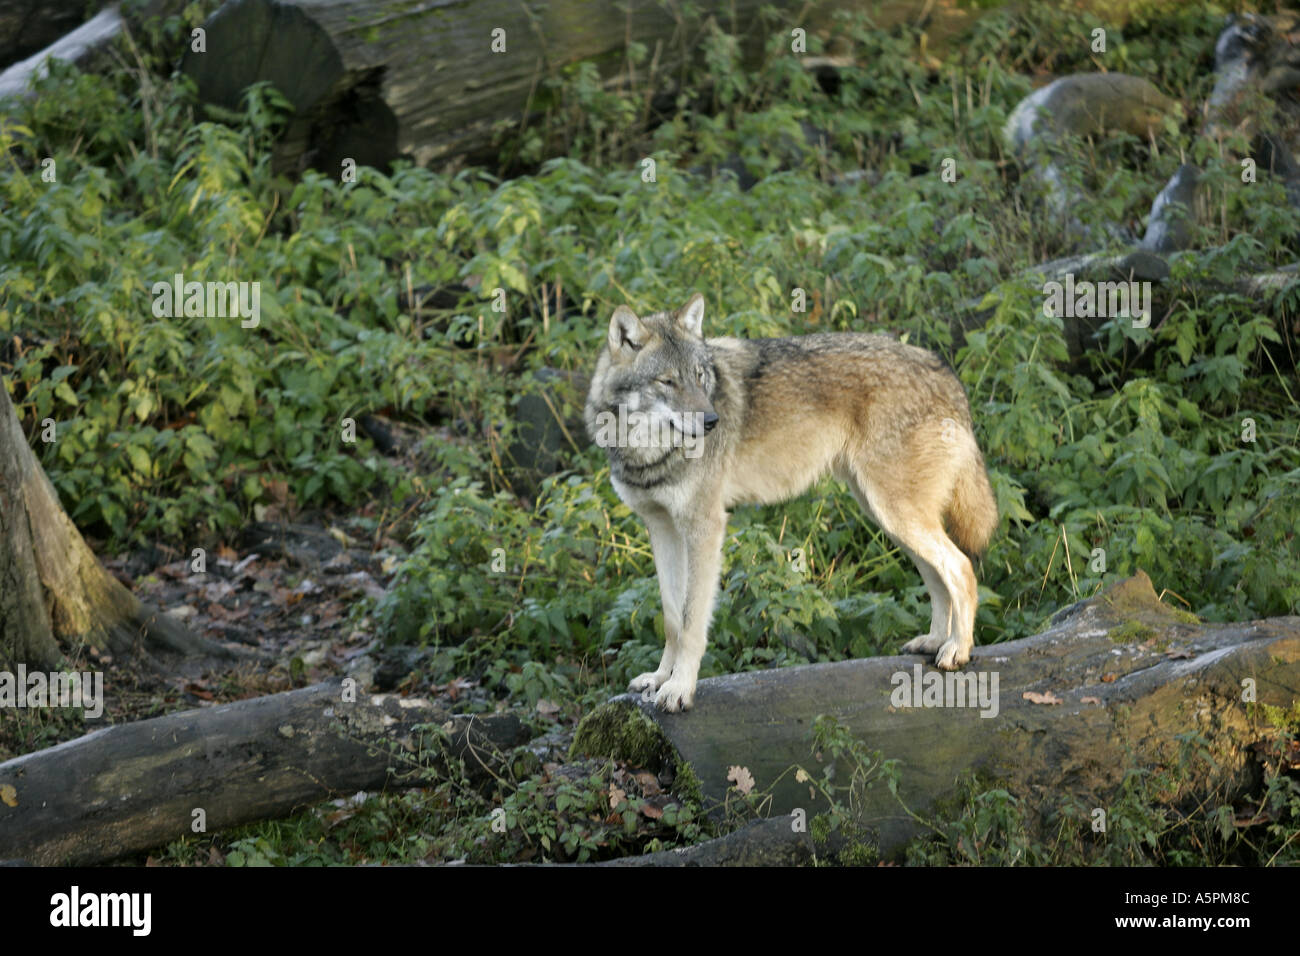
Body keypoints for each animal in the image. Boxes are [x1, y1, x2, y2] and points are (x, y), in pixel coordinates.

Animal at [584, 294, 998, 713]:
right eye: (667, 381)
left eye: (700, 377)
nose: (713, 421)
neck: (649, 454)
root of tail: (943, 369)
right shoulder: (661, 529)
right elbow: (671, 618)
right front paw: (658, 679)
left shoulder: (705, 528)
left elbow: (691, 621)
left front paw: (679, 688)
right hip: (888, 518)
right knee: (938, 576)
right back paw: (934, 641)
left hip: (897, 515)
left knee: (962, 568)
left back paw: (957, 650)